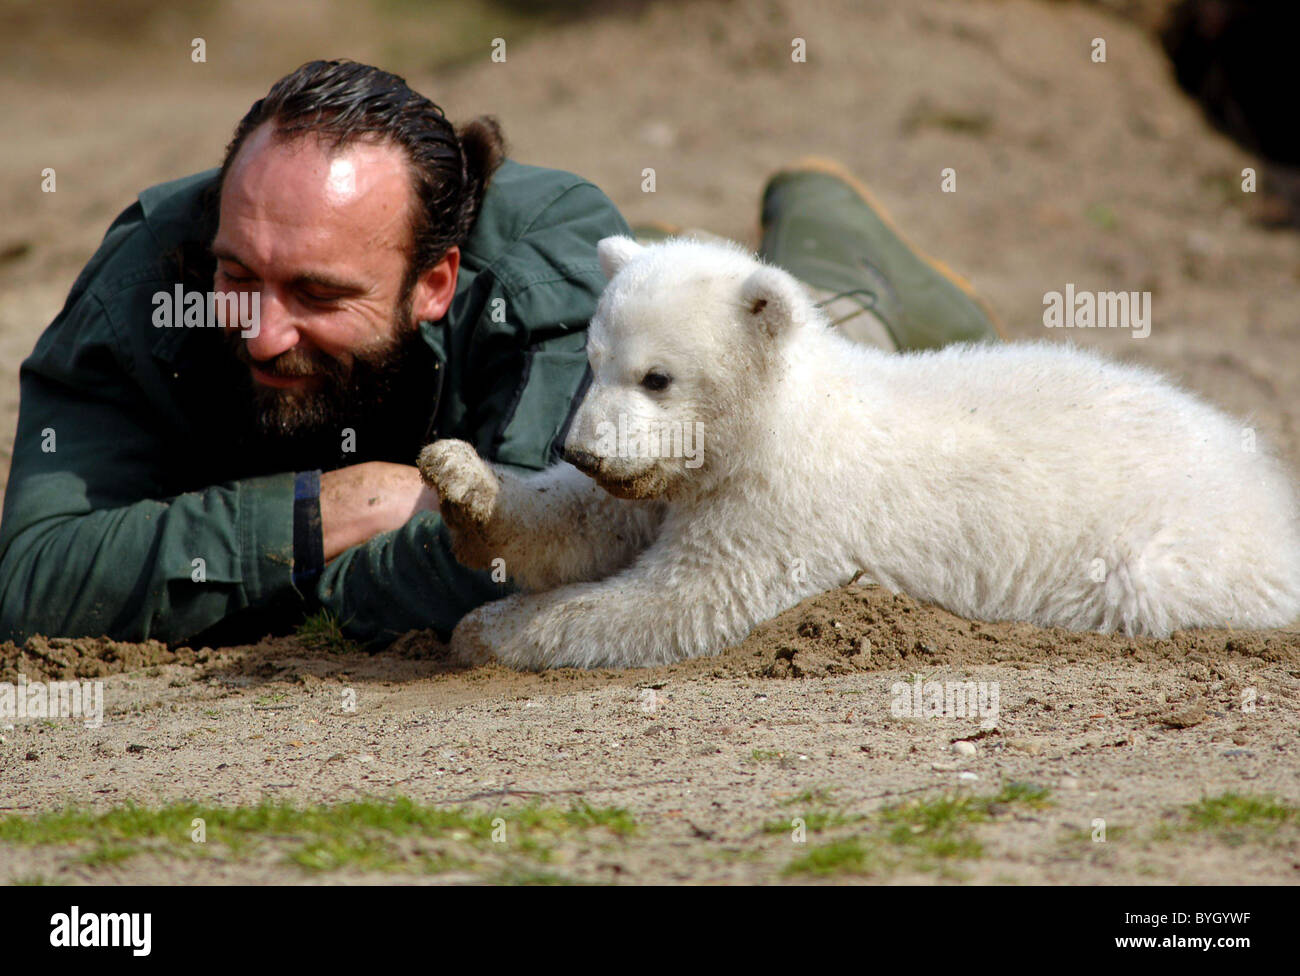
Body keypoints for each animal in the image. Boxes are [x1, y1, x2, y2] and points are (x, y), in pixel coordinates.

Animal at [416, 235, 1300, 670]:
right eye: (593, 361)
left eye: (657, 376)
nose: (585, 449)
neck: (783, 418)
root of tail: (1270, 489)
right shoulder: (678, 476)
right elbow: (585, 520)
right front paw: (462, 479)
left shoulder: (787, 506)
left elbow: (684, 602)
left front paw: (485, 630)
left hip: (1171, 554)